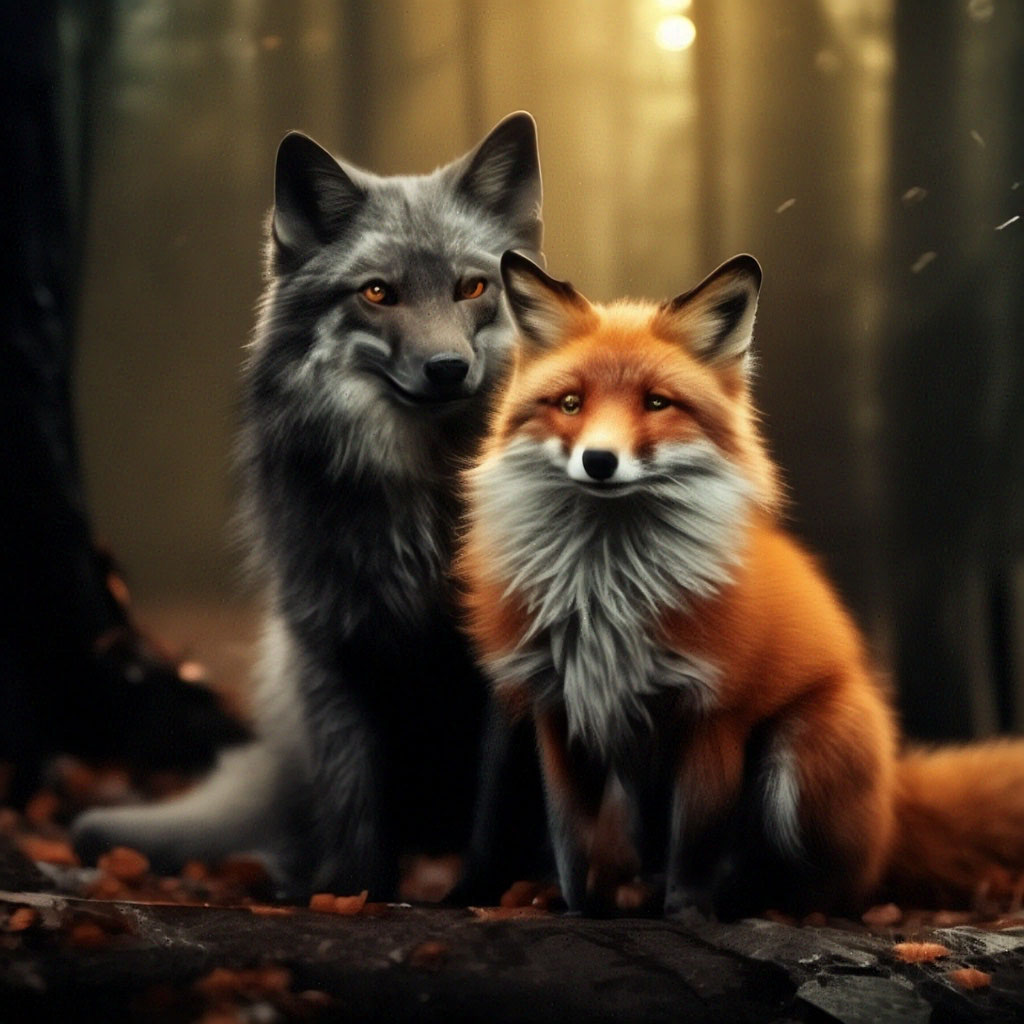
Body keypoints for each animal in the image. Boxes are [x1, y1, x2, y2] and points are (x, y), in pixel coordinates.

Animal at [72, 113, 544, 899]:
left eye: (473, 287)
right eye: (378, 293)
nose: (448, 368)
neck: (425, 503)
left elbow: (496, 814)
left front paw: (485, 900)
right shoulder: (329, 644)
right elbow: (355, 808)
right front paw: (354, 897)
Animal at [458, 249, 1024, 917]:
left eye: (656, 404)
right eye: (570, 404)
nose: (599, 461)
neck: (606, 594)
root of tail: (894, 792)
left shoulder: (715, 711)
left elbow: (694, 846)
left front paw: (687, 918)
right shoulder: (558, 709)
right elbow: (572, 840)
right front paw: (581, 913)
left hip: (798, 758)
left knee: (840, 887)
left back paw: (768, 905)